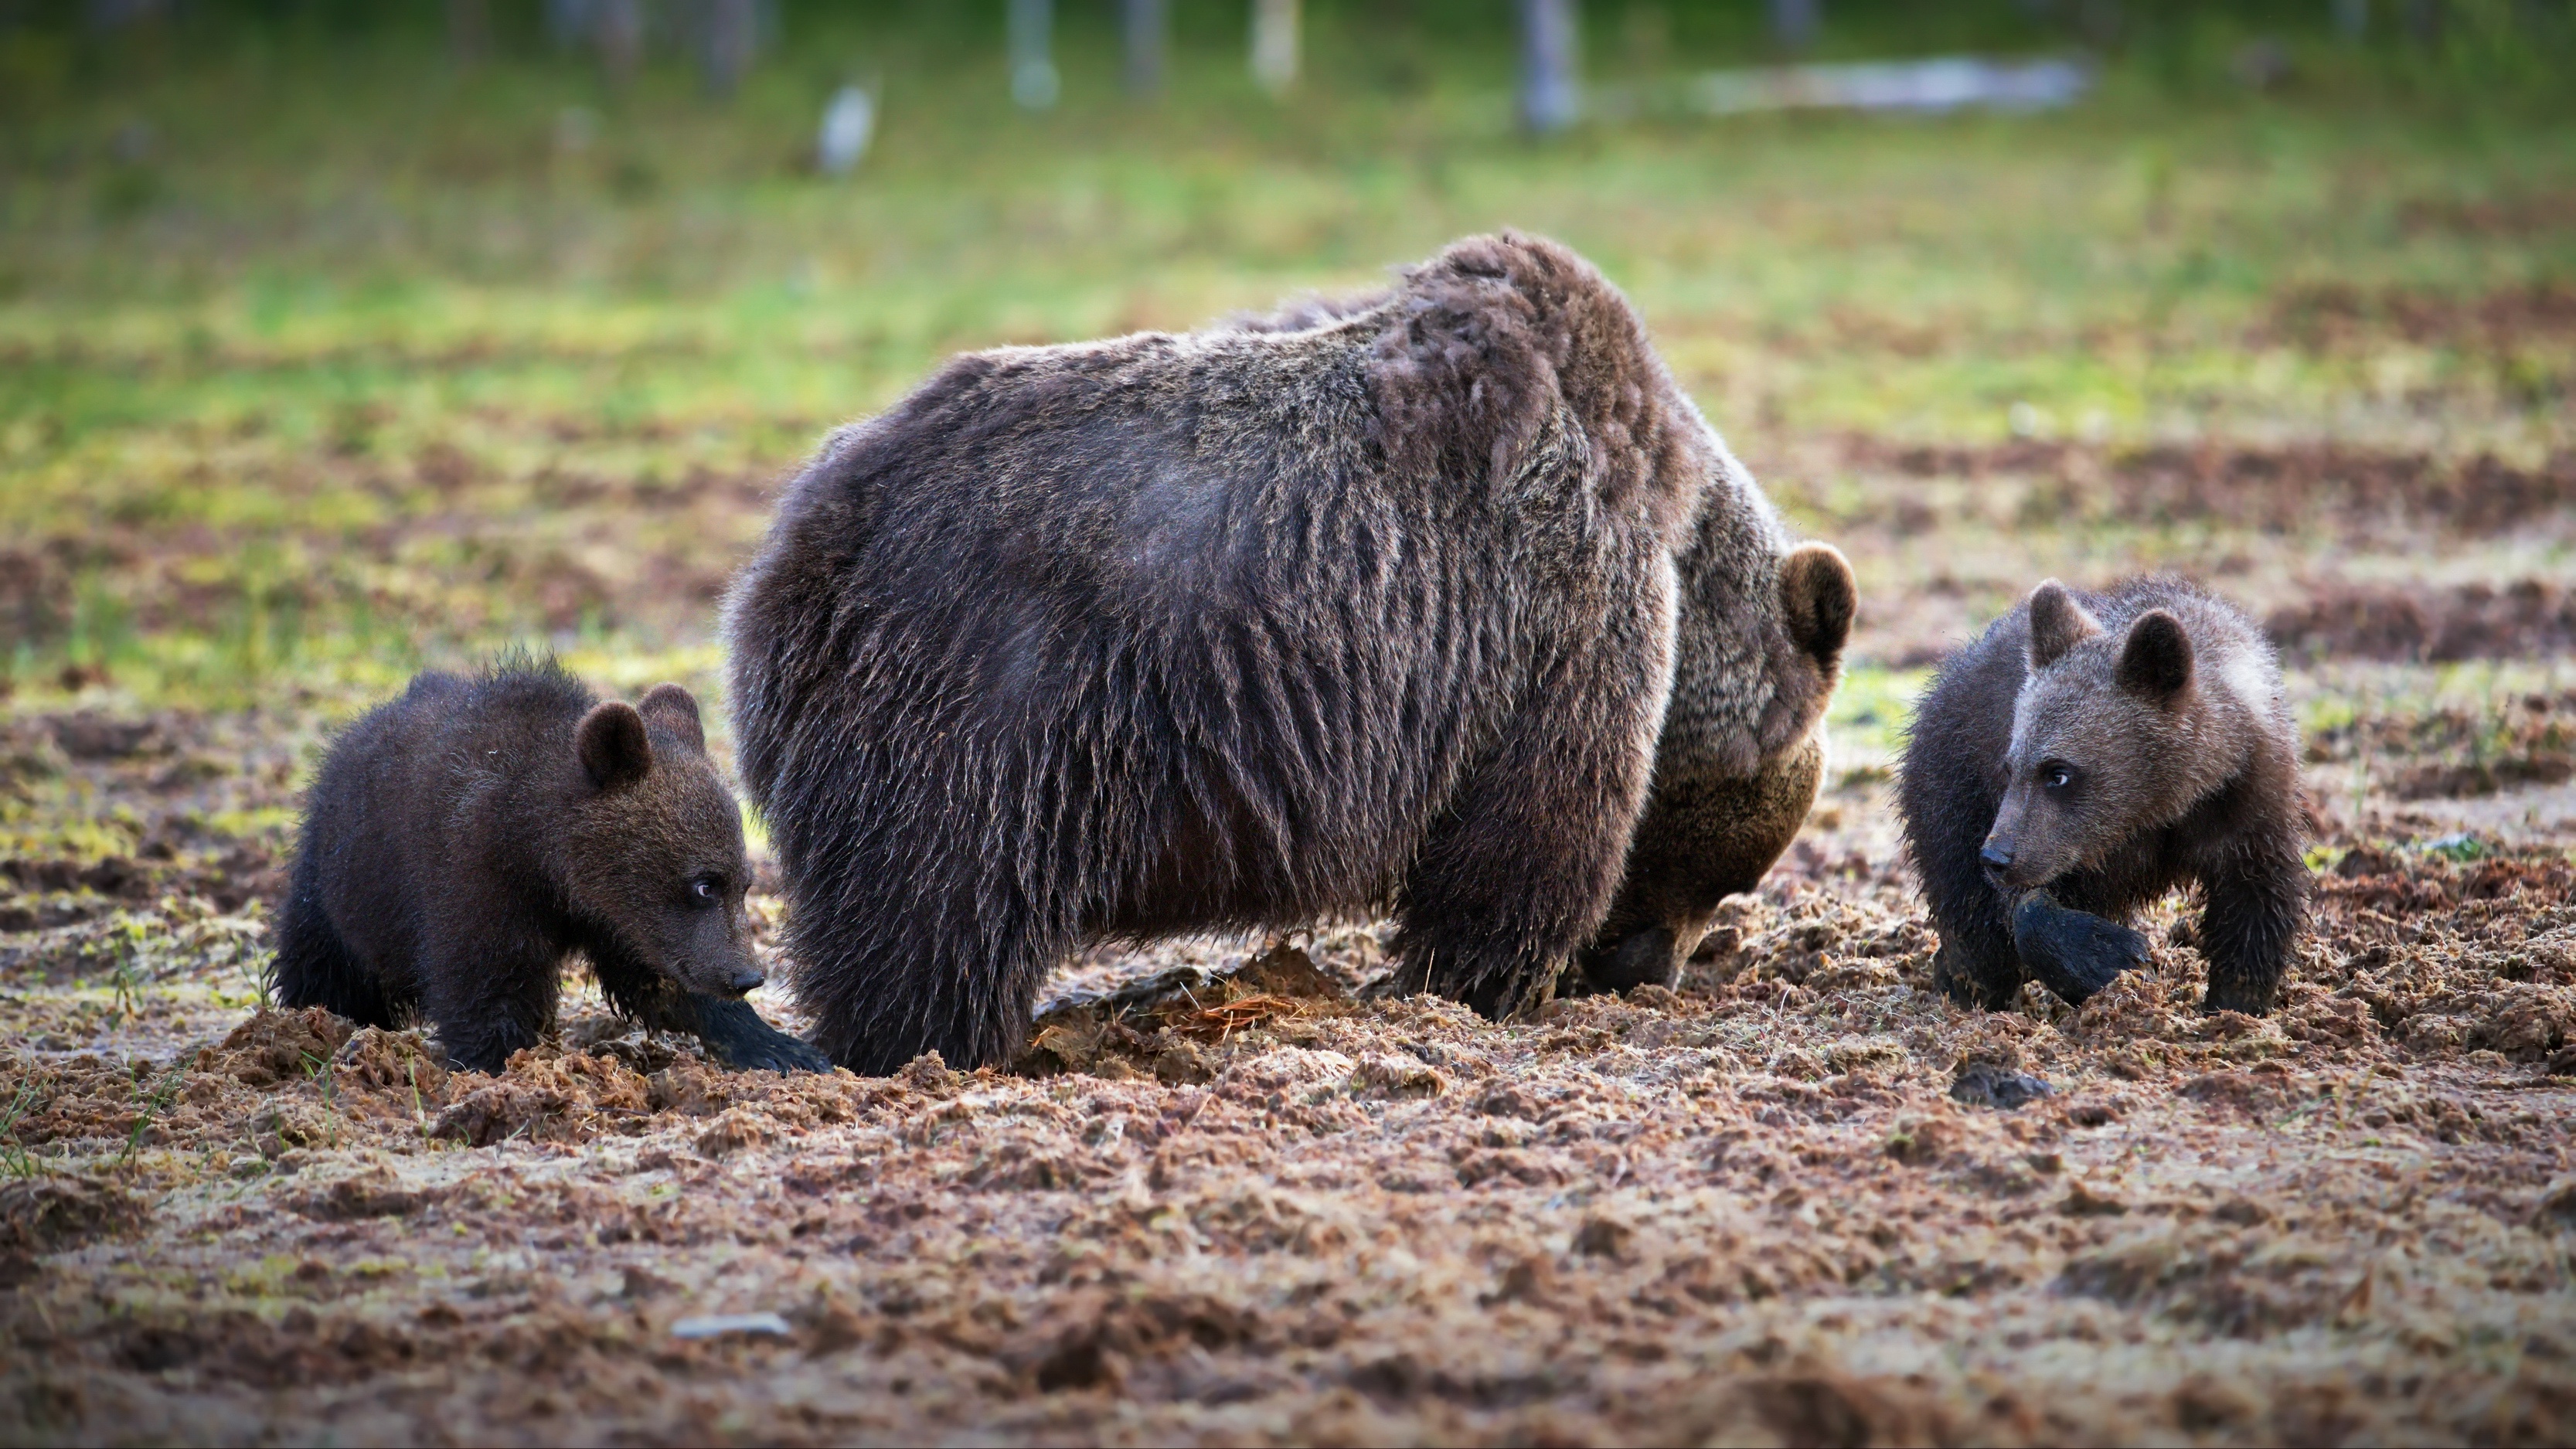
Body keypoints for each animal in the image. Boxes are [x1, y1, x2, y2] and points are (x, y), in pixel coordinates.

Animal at [269, 657, 829, 1074]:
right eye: (704, 884)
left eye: (744, 882)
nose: (748, 975)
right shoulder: (473, 872)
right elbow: (484, 982)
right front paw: (502, 1067)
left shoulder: (618, 919)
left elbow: (657, 979)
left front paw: (783, 1047)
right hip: (337, 879)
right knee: (323, 966)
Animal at [725, 231, 1852, 1073]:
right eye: (1732, 869)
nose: (1650, 969)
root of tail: (796, 542)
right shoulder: (1558, 620)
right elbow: (1529, 834)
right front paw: (1485, 984)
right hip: (981, 703)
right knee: (933, 914)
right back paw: (941, 1049)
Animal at [1896, 576, 2308, 1015]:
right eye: (2010, 768)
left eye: (2059, 773)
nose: (1996, 857)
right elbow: (2023, 905)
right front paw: (2112, 957)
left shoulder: (2248, 804)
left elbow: (2256, 904)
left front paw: (2236, 1003)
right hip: (1951, 785)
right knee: (1968, 915)